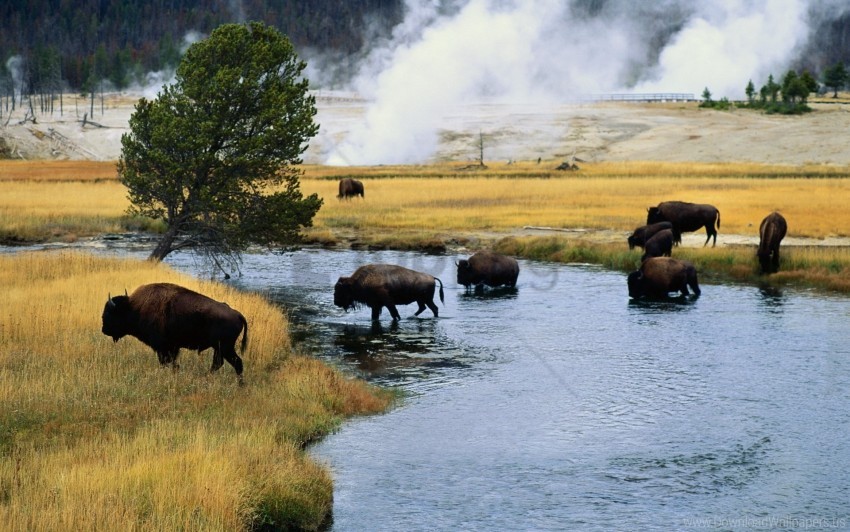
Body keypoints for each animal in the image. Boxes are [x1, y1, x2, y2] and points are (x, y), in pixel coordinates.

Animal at [102, 283, 247, 378]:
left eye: (108, 312)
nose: (104, 330)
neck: (134, 308)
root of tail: (237, 314)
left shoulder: (163, 347)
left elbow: (166, 362)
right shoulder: (172, 348)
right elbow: (173, 363)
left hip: (225, 347)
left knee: (236, 363)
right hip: (219, 348)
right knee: (219, 363)